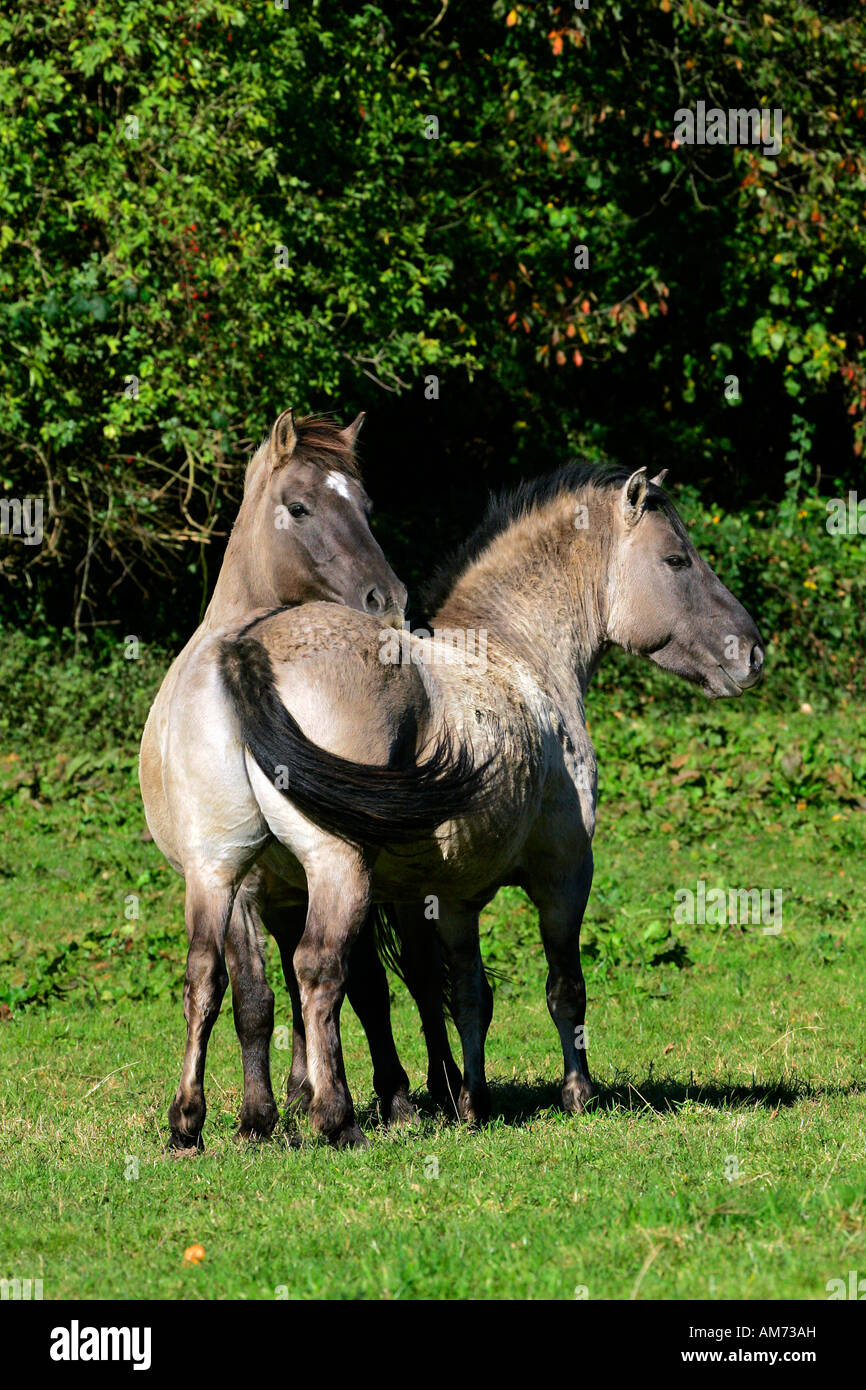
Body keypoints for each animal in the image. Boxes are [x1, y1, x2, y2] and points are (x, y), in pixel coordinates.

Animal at [139, 409, 421, 1149]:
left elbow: (263, 994)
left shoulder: (248, 879)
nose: (387, 600)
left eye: (367, 505)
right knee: (306, 979)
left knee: (252, 980)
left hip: (250, 871)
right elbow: (278, 994)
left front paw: (268, 1110)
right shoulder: (265, 882)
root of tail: (246, 659)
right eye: (299, 506)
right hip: (299, 870)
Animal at [190, 461, 764, 1147]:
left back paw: (236, 1120)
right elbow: (564, 987)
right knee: (318, 970)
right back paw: (335, 1118)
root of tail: (253, 657)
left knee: (239, 984)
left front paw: (470, 1100)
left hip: (238, 883)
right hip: (334, 872)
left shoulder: (452, 896)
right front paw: (577, 1093)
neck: (518, 655)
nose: (752, 651)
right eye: (677, 560)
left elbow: (465, 994)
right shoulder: (564, 876)